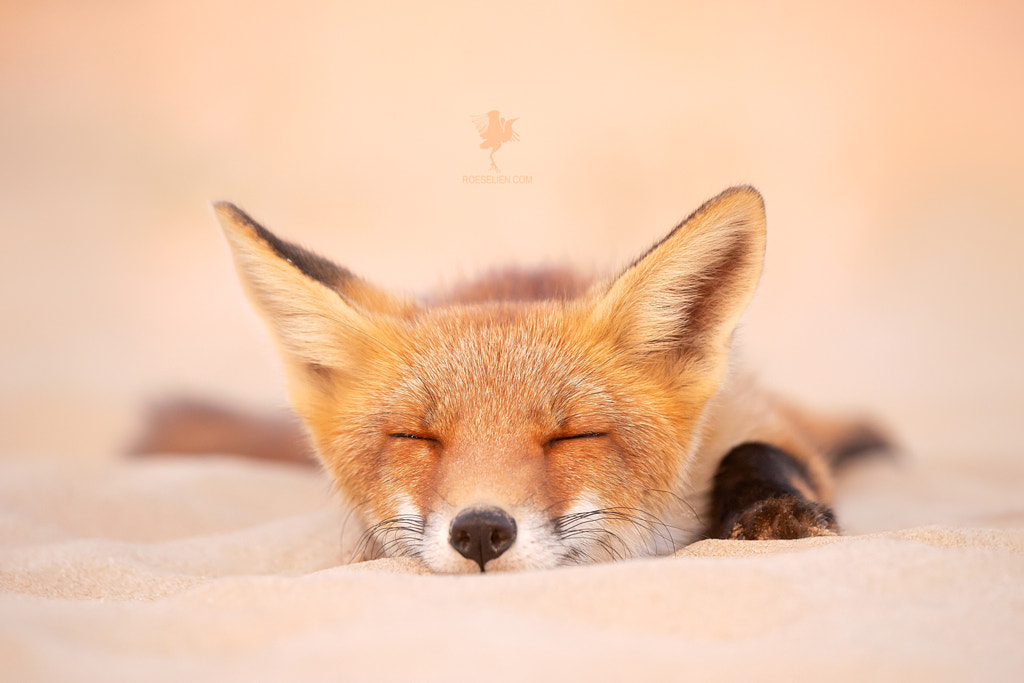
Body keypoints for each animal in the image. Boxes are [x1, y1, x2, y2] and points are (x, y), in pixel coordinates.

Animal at [136, 186, 889, 573]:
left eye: (572, 437)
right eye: (415, 437)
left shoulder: (747, 414)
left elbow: (762, 449)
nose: (479, 533)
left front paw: (775, 509)